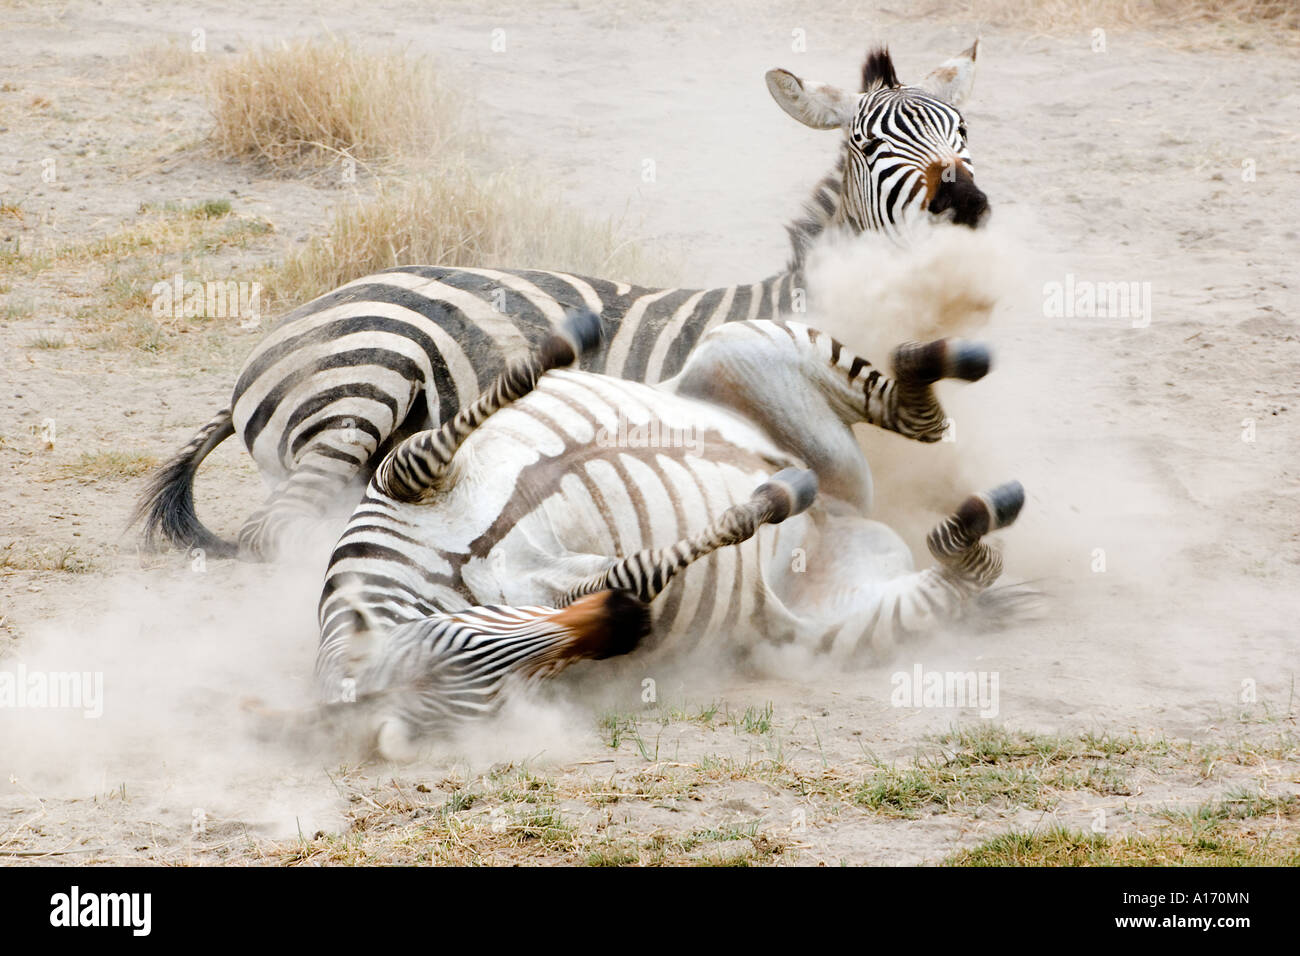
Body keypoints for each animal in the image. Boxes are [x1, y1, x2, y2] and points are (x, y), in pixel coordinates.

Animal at [133, 42, 988, 562]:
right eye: (869, 146)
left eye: (964, 132)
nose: (967, 206)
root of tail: (279, 336)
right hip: (361, 386)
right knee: (281, 531)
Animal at [312, 309, 1024, 759]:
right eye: (516, 691)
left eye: (465, 637)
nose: (628, 626)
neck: (451, 574)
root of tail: (846, 509)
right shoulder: (570, 586)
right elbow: (642, 568)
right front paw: (772, 500)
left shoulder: (409, 472)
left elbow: (504, 389)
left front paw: (563, 346)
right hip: (833, 624)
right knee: (958, 567)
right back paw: (972, 519)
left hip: (744, 347)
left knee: (906, 410)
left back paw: (940, 359)